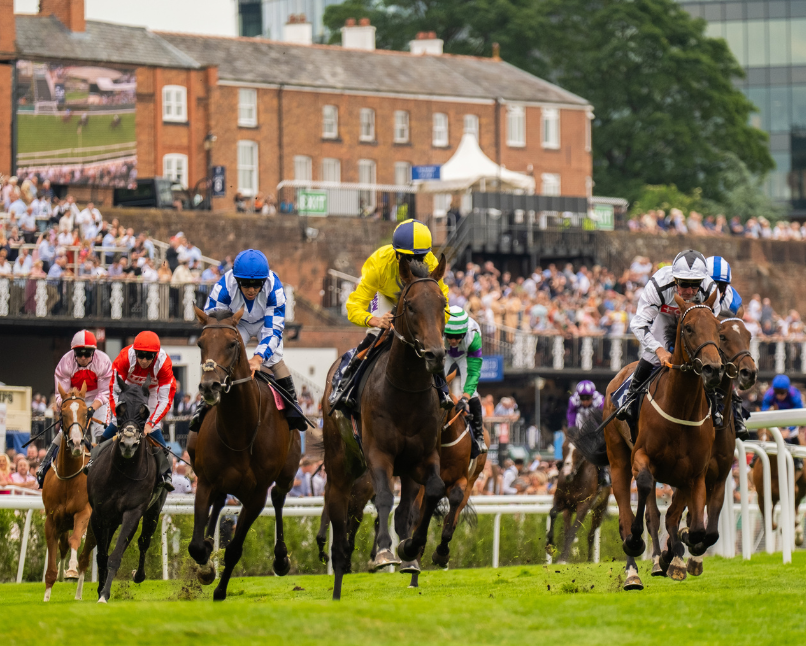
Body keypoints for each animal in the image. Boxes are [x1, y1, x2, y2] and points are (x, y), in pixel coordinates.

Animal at [87, 376, 167, 603]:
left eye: (145, 411)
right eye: (120, 408)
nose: (128, 444)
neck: (122, 473)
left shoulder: (133, 511)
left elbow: (116, 555)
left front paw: (104, 594)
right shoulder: (99, 513)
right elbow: (102, 555)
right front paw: (100, 589)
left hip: (152, 511)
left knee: (144, 541)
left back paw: (138, 575)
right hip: (112, 518)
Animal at [187, 307, 301, 601]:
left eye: (232, 344)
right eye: (200, 344)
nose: (210, 386)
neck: (239, 430)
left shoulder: (256, 495)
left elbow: (235, 549)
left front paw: (220, 590)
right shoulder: (205, 481)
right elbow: (196, 546)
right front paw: (206, 567)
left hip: (288, 473)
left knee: (279, 497)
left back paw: (281, 558)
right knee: (219, 501)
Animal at [322, 255, 448, 600]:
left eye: (443, 304)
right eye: (411, 306)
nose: (435, 354)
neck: (405, 391)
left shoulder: (424, 457)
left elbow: (433, 491)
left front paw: (410, 549)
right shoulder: (378, 454)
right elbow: (383, 498)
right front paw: (383, 553)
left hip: (406, 469)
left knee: (405, 508)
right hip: (341, 461)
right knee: (339, 503)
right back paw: (338, 564)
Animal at [602, 292, 723, 590]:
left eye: (718, 328)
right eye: (688, 328)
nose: (713, 370)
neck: (681, 408)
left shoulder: (695, 474)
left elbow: (695, 528)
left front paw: (674, 556)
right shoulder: (641, 458)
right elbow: (644, 492)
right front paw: (638, 543)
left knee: (659, 515)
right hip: (618, 460)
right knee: (624, 514)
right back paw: (632, 573)